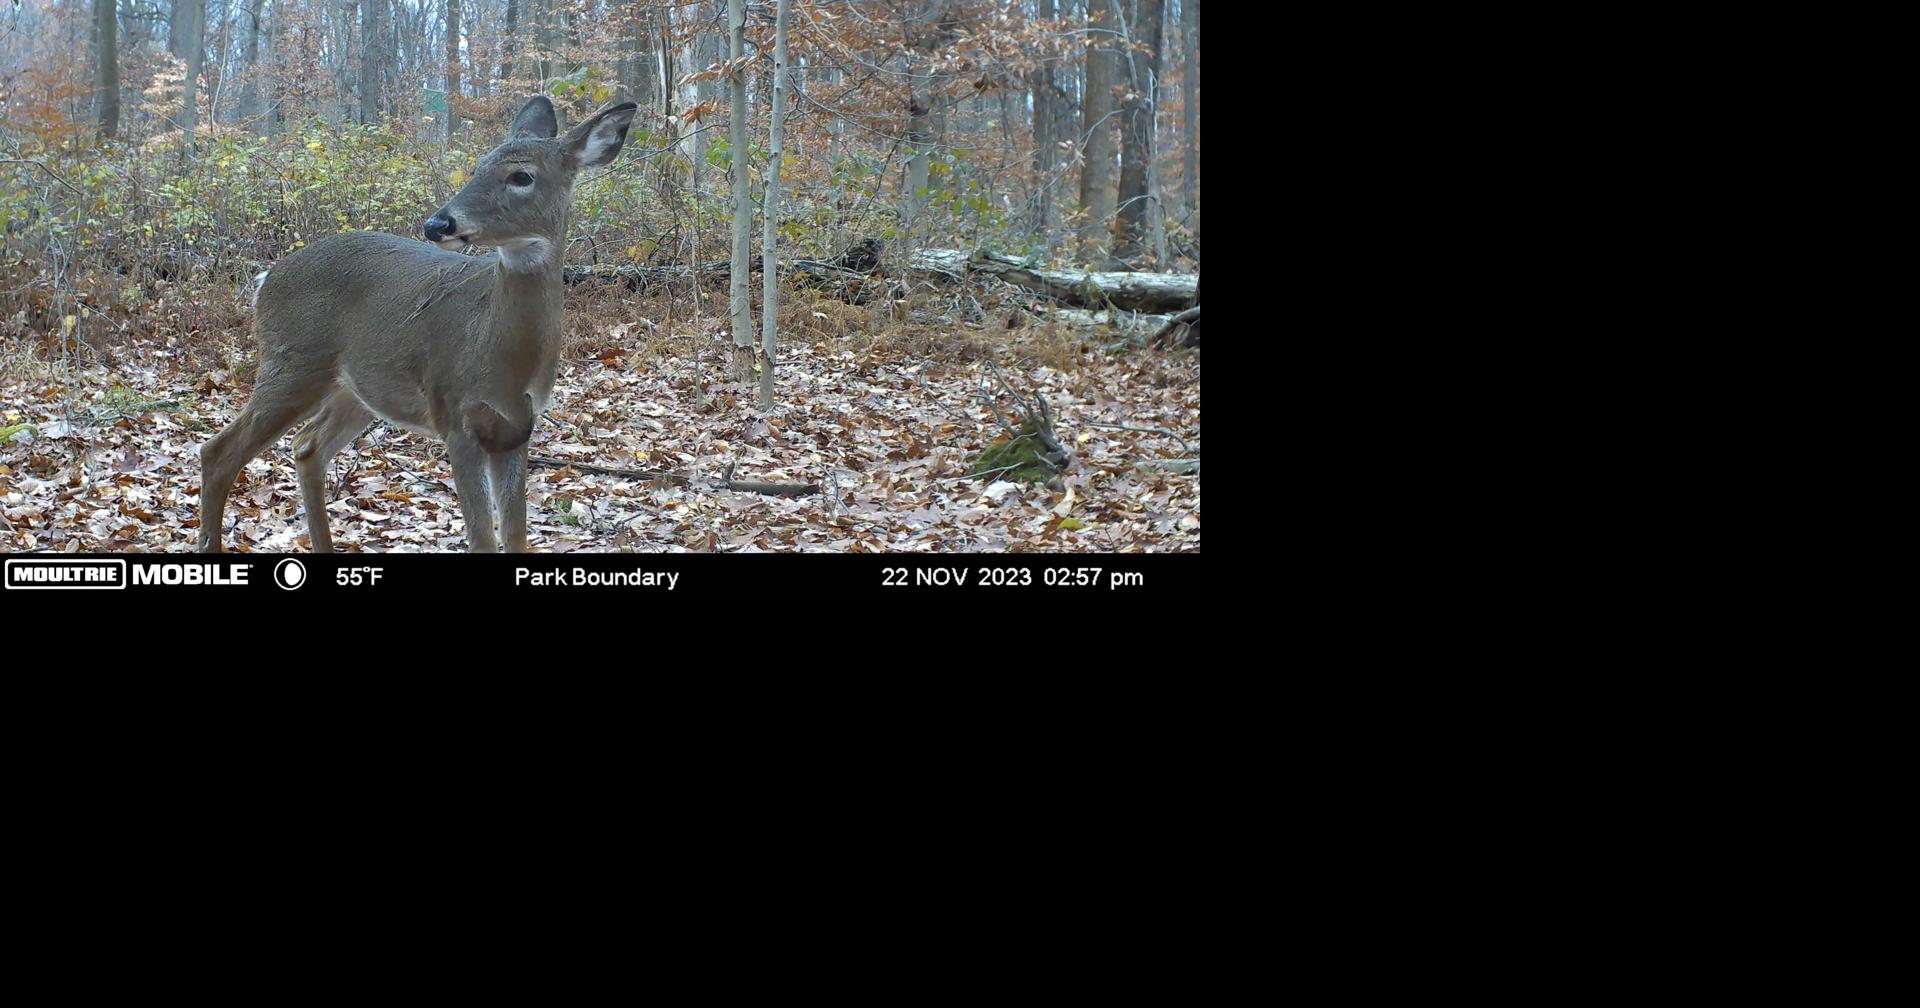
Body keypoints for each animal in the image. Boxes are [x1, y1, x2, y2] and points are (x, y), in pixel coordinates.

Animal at [197, 96, 638, 554]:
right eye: (476, 166)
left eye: (521, 176)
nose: (438, 223)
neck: (502, 353)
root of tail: (265, 279)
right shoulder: (454, 415)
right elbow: (482, 539)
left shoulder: (517, 429)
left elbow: (516, 537)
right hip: (291, 363)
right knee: (217, 452)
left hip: (356, 390)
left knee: (306, 447)